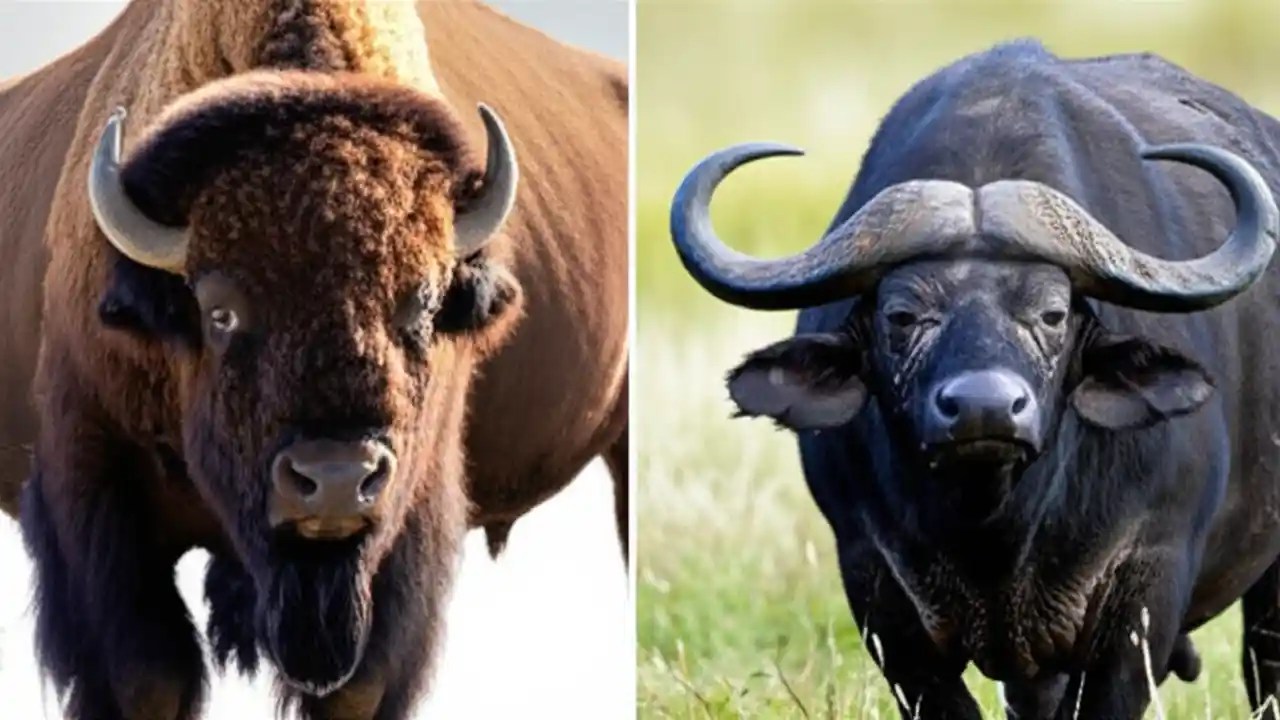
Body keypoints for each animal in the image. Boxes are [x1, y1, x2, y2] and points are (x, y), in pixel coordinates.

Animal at [0, 1, 627, 718]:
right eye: (220, 310)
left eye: (422, 302)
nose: (335, 480)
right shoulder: (96, 484)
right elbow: (147, 676)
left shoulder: (403, 524)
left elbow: (356, 685)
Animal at [672, 40, 1280, 719]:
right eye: (902, 316)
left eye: (1052, 313)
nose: (983, 409)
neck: (993, 532)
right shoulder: (877, 592)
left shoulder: (1147, 586)